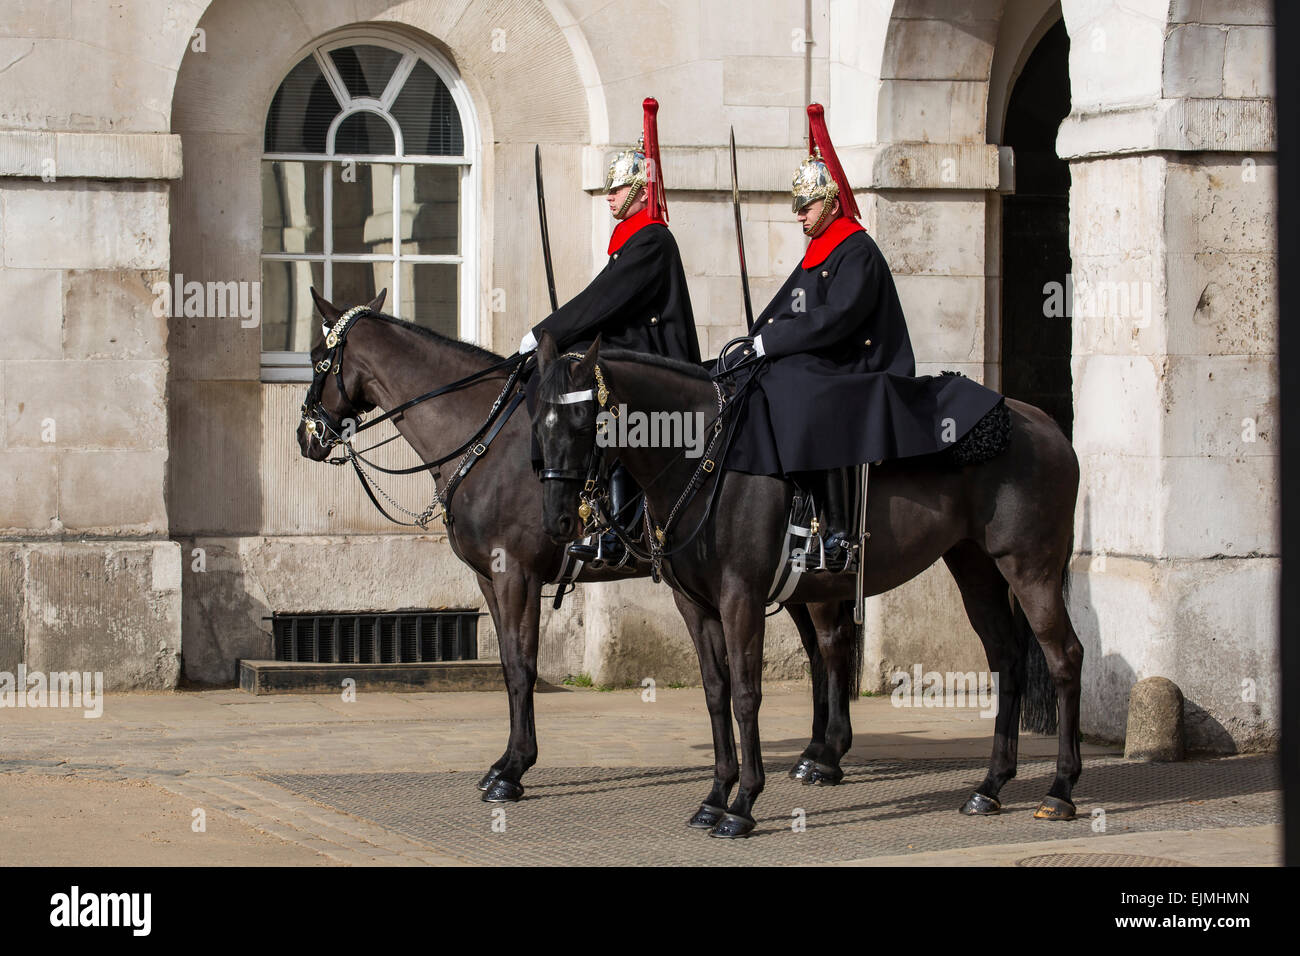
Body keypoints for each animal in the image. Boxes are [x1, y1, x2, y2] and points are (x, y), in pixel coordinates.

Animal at [295, 290, 859, 807]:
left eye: (318, 357)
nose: (305, 436)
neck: (484, 439)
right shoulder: (488, 578)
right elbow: (508, 661)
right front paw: (505, 761)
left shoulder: (516, 574)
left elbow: (522, 667)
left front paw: (514, 770)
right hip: (785, 583)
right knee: (818, 650)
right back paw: (819, 752)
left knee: (831, 645)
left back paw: (827, 755)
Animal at [531, 332, 1083, 838]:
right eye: (538, 424)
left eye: (584, 423)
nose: (559, 521)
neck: (705, 459)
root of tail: (1045, 423)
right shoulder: (696, 606)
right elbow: (716, 693)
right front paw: (715, 797)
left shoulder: (741, 598)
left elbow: (746, 695)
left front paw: (743, 805)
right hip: (974, 565)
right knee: (1006, 658)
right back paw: (990, 786)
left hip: (1030, 567)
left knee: (1064, 657)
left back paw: (1059, 791)